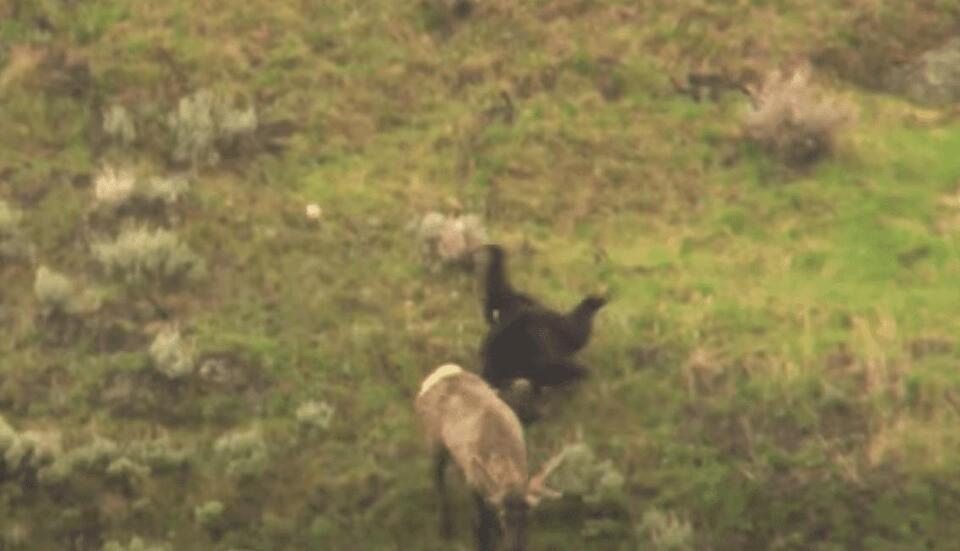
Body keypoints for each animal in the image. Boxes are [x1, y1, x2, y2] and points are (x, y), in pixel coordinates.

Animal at [415, 363, 569, 551]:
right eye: (503, 517)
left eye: (529, 518)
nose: (515, 547)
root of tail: (440, 371)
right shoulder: (475, 480)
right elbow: (481, 524)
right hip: (433, 441)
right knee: (437, 479)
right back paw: (445, 531)